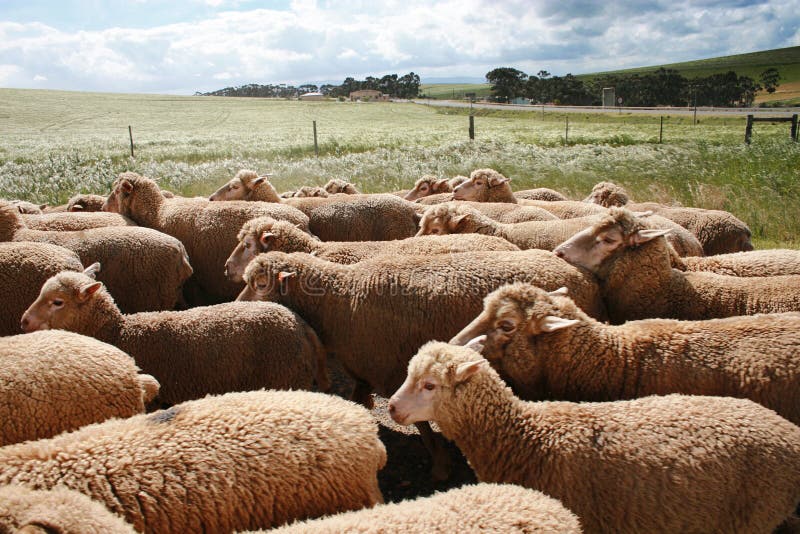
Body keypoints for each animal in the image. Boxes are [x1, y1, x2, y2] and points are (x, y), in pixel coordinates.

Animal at [237, 249, 604, 479]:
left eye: (260, 284)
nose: (236, 306)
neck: (340, 301)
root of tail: (581, 276)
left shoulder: (395, 370)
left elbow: (424, 426)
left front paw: (440, 466)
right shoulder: (367, 370)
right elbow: (360, 398)